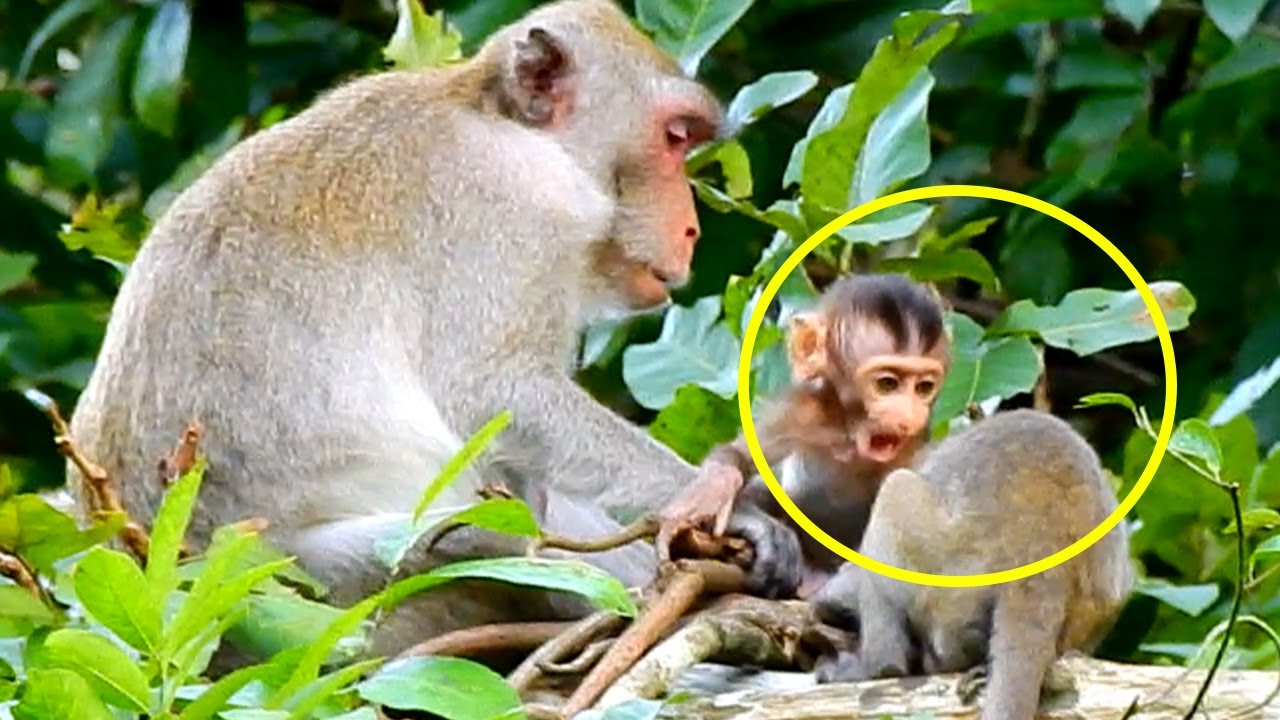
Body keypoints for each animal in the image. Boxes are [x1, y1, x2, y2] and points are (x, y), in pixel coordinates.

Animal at [65, 0, 725, 664]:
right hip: (333, 589)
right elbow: (493, 394)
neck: (498, 121)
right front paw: (715, 490)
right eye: (674, 138)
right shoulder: (511, 212)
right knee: (492, 540)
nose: (693, 230)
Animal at [656, 273, 950, 600]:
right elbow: (741, 457)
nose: (909, 415)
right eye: (887, 383)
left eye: (923, 388)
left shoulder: (915, 444)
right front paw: (713, 492)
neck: (849, 432)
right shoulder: (802, 412)